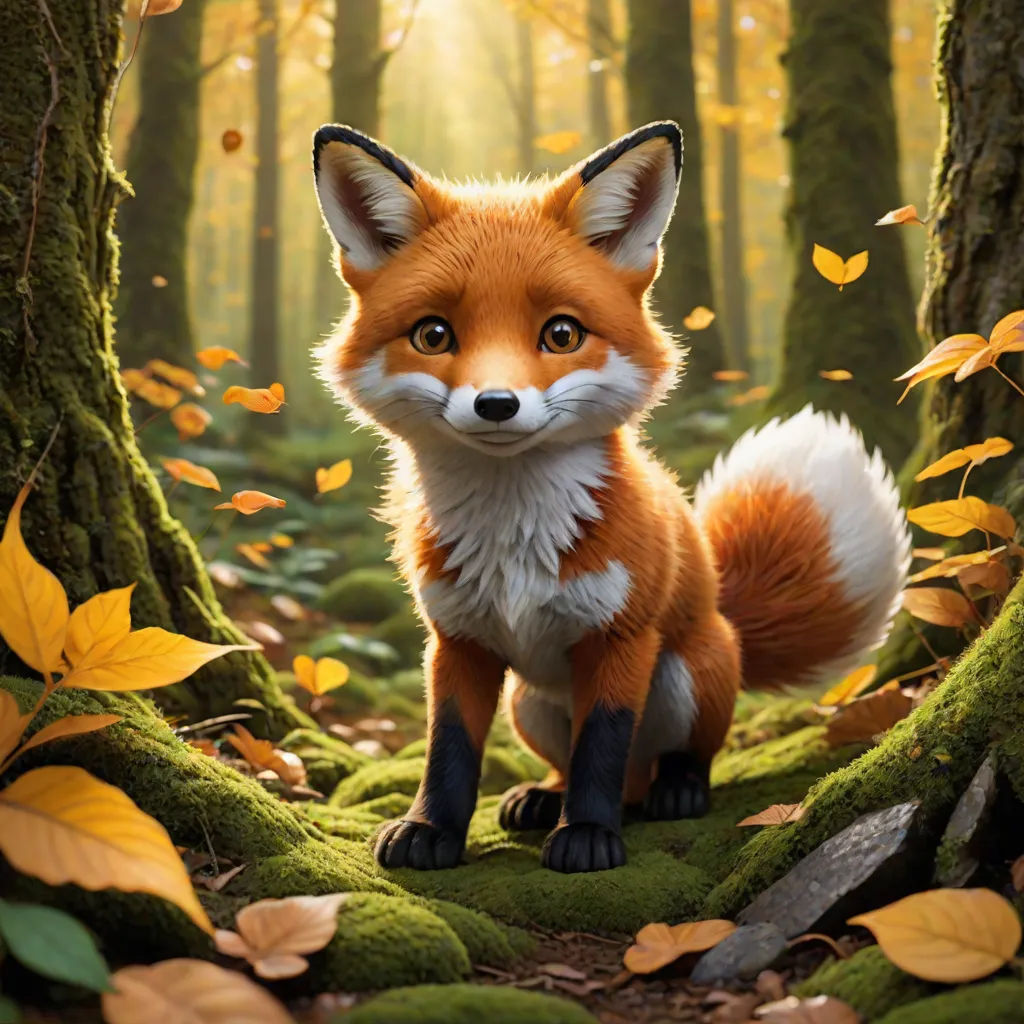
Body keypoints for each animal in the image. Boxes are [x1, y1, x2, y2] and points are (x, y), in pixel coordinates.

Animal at [311, 121, 911, 874]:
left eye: (562, 333)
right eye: (433, 334)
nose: (497, 404)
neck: (514, 540)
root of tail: (727, 617)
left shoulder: (619, 636)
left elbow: (601, 745)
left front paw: (589, 836)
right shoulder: (456, 641)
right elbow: (449, 747)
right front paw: (430, 830)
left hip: (685, 673)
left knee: (661, 761)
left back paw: (672, 792)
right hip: (530, 703)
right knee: (573, 763)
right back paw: (542, 796)